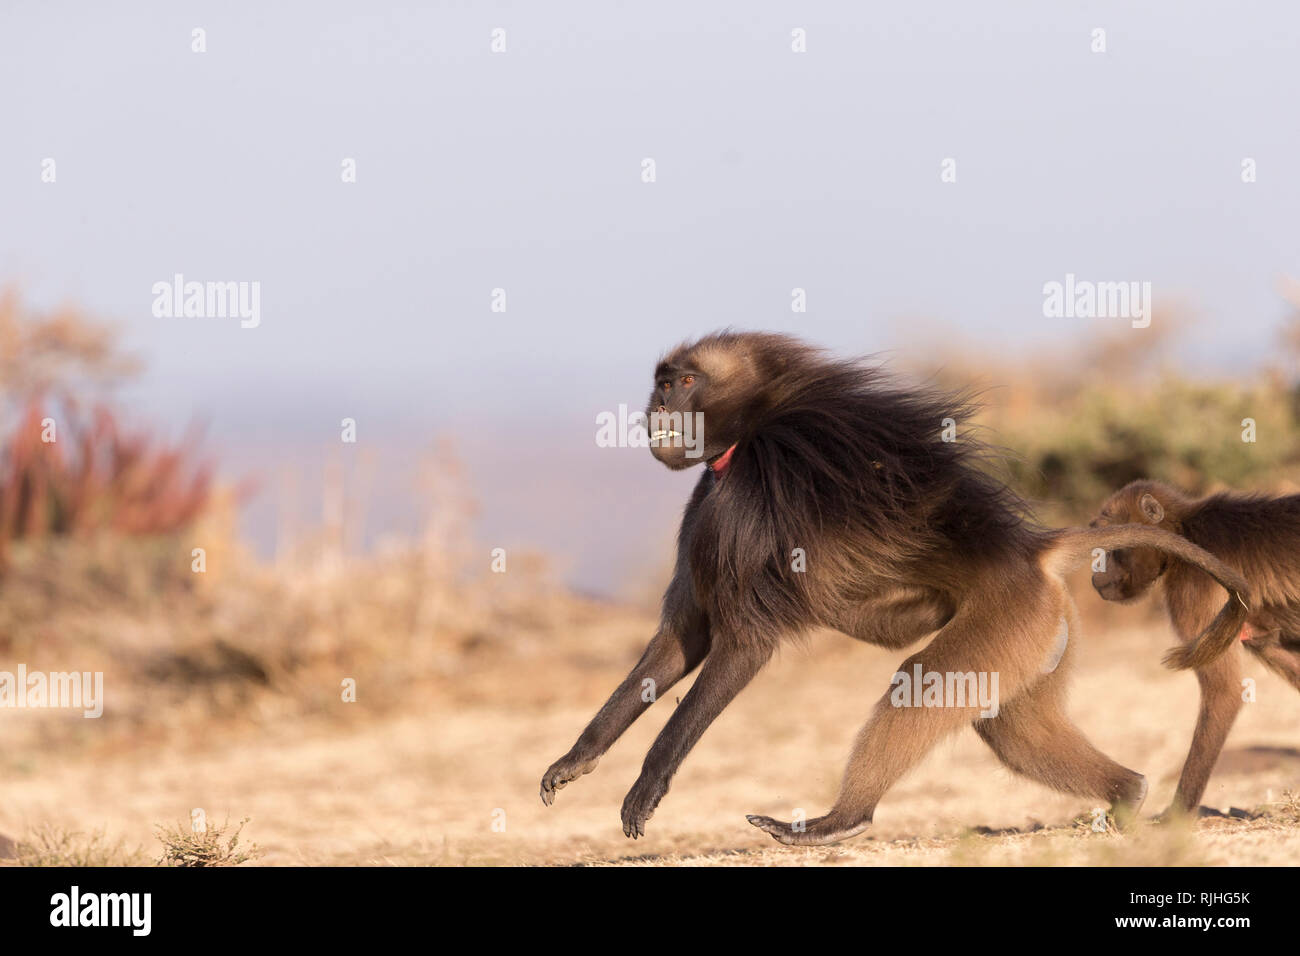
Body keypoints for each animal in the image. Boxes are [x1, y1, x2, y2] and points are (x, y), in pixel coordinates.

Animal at [540, 332, 1250, 845]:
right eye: (661, 382)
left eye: (683, 380)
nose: (657, 407)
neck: (745, 438)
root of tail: (1031, 552)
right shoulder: (704, 506)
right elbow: (681, 640)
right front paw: (576, 760)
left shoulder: (747, 500)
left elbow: (742, 646)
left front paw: (647, 784)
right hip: (1035, 634)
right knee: (1009, 726)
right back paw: (1127, 796)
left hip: (1006, 617)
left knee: (920, 682)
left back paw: (836, 822)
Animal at [1090, 479, 1300, 817]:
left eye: (1114, 546)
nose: (1095, 577)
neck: (1183, 530)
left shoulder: (1192, 584)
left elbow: (1224, 691)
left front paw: (1175, 816)